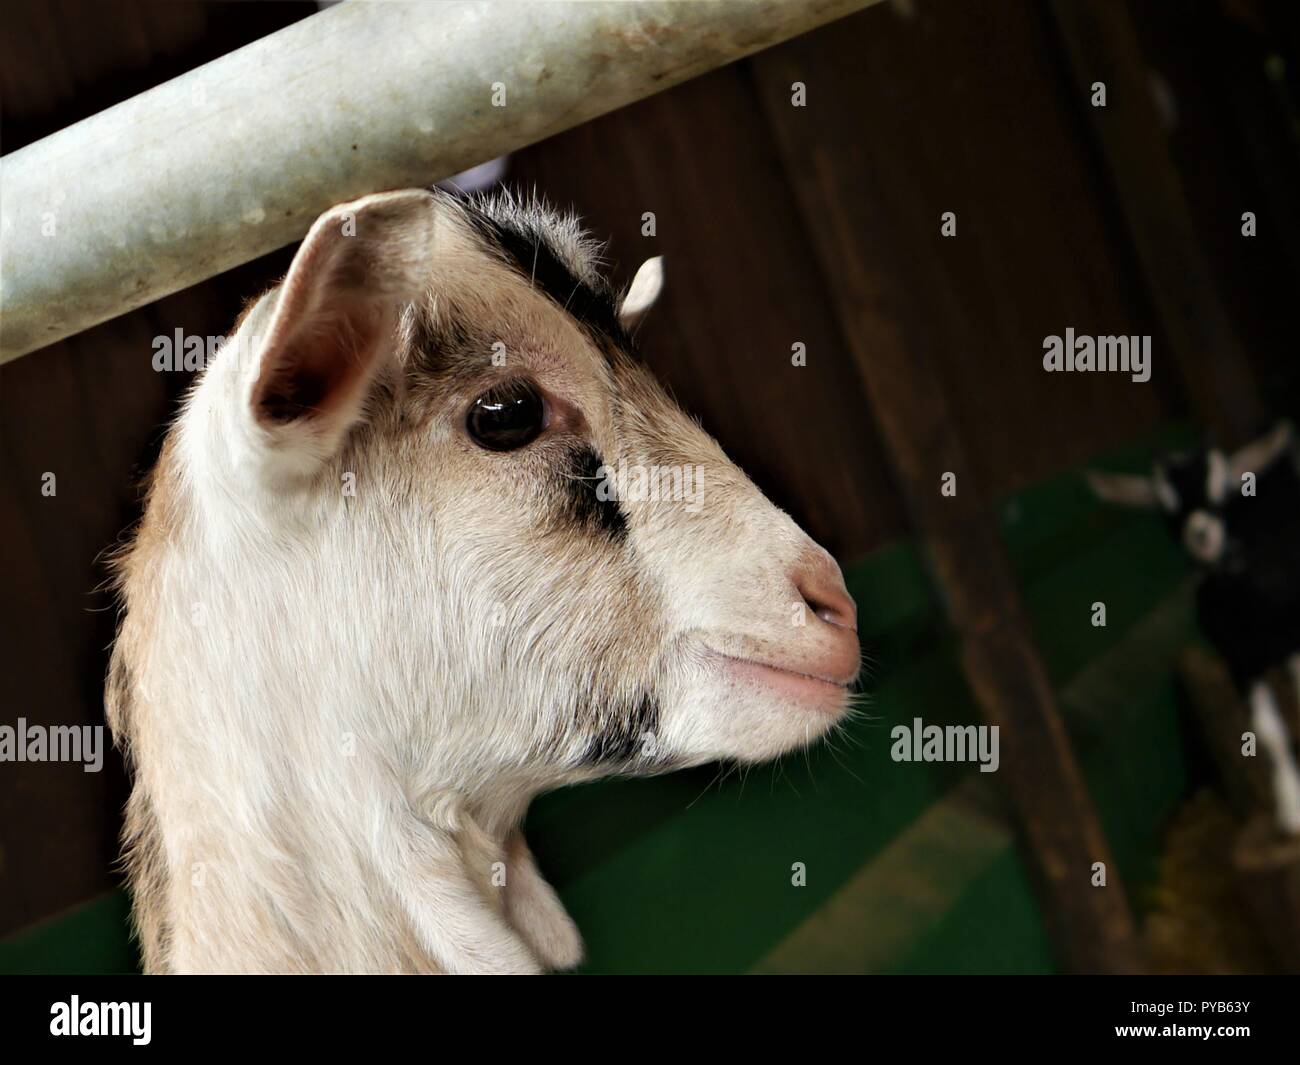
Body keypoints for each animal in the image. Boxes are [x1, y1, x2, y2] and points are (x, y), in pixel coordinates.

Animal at [1088, 422, 1300, 835]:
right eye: (1165, 509)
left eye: (1226, 487)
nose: (1202, 536)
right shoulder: (1236, 656)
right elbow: (1268, 732)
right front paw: (1291, 807)